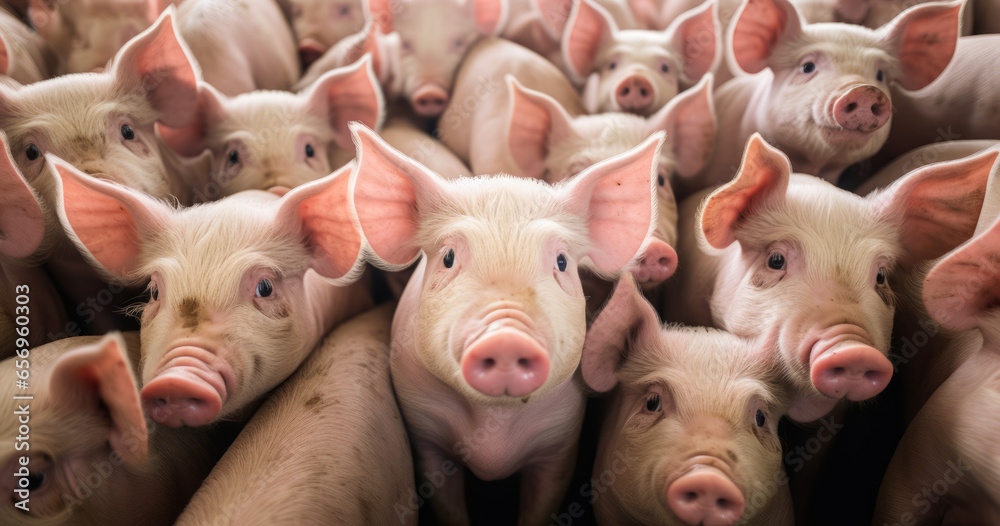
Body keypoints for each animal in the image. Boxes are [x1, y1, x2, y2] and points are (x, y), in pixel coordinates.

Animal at [349, 122, 659, 525]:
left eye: (561, 261)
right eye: (448, 257)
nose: (506, 336)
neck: (492, 430)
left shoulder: (559, 443)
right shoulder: (425, 435)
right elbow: (447, 503)